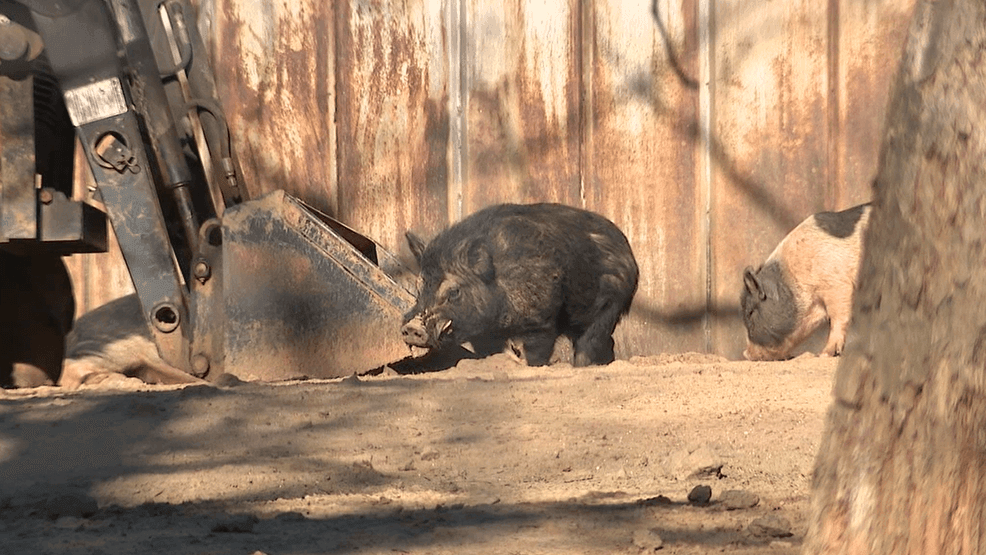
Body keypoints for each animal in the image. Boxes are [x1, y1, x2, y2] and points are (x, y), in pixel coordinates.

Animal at [401, 203, 639, 367]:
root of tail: (627, 251)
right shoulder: (484, 335)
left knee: (590, 341)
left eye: (454, 291)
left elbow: (536, 351)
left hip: (611, 303)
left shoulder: (541, 319)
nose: (411, 327)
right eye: (419, 287)